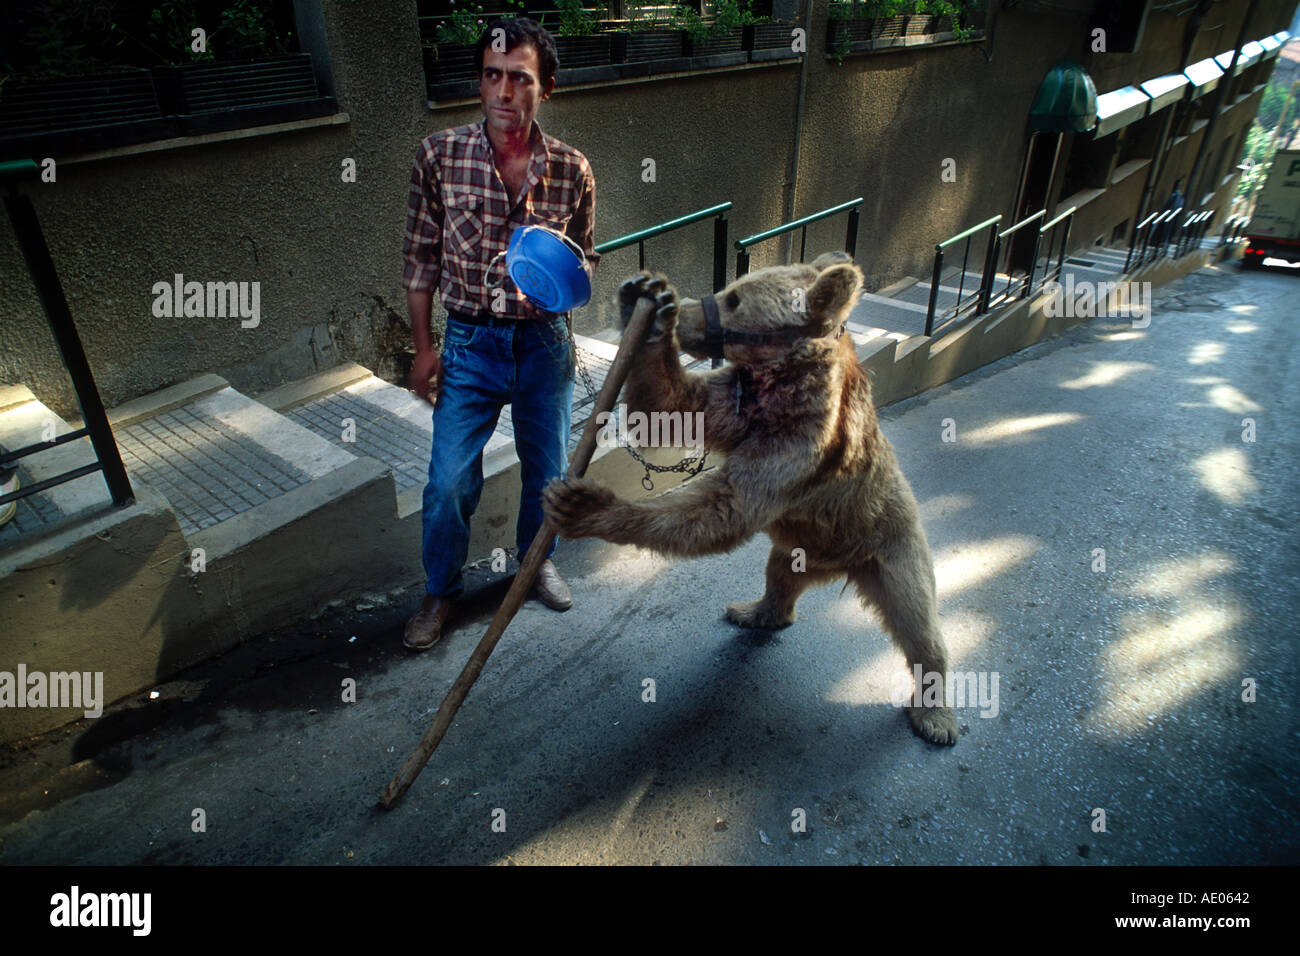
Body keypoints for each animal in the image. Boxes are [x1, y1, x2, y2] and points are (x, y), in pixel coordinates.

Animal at [542, 254, 958, 746]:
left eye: (735, 300)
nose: (688, 312)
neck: (778, 387)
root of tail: (839, 566)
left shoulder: (794, 450)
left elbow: (723, 509)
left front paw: (584, 504)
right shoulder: (736, 402)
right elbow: (669, 404)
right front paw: (648, 303)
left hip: (893, 549)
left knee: (918, 622)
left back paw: (935, 715)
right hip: (798, 548)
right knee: (778, 577)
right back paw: (754, 611)